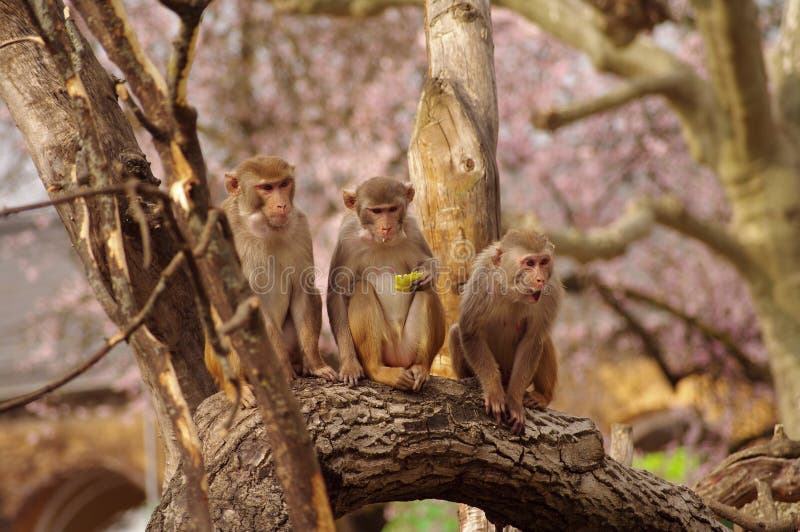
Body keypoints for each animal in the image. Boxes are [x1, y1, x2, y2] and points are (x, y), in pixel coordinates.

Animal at [205, 155, 337, 401]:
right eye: (267, 188)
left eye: (283, 184)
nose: (282, 204)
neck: (265, 227)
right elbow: (248, 304)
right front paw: (282, 372)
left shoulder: (300, 226)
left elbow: (304, 289)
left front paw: (315, 365)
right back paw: (236, 385)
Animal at [327, 177, 446, 391]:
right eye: (376, 211)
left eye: (392, 209)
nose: (386, 227)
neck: (379, 241)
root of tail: (398, 357)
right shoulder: (346, 239)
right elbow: (337, 294)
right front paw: (349, 364)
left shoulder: (413, 230)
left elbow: (429, 263)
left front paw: (428, 272)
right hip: (385, 347)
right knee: (362, 289)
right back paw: (378, 370)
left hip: (408, 346)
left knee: (426, 290)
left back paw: (421, 367)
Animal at [448, 229, 563, 434]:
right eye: (529, 263)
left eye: (543, 262)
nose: (540, 279)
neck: (513, 292)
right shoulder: (482, 281)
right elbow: (470, 332)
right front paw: (493, 390)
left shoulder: (551, 292)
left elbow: (532, 341)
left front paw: (514, 401)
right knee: (455, 332)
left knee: (543, 340)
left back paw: (543, 395)